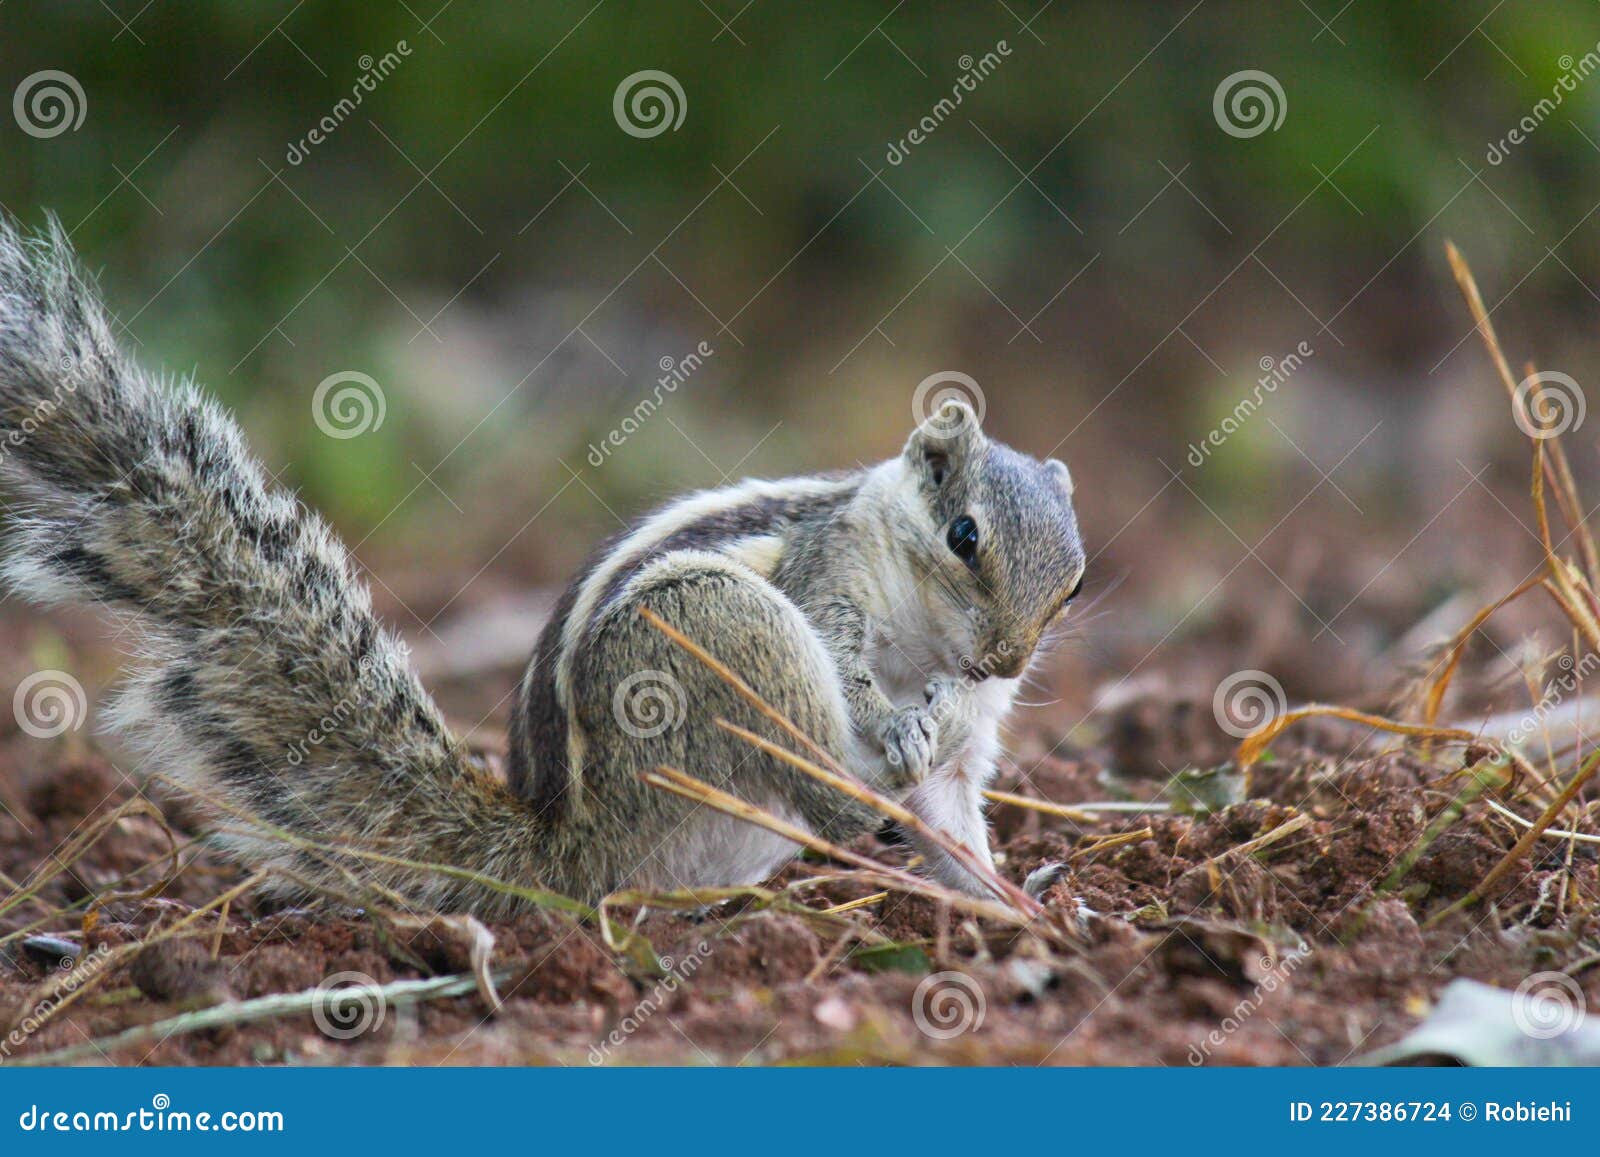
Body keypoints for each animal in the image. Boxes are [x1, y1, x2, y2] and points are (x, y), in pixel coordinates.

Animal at [0, 219, 1086, 913]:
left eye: (1073, 585)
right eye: (964, 537)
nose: (1001, 662)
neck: (935, 647)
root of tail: (566, 846)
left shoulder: (973, 739)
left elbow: (958, 819)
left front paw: (1018, 905)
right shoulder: (830, 576)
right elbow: (852, 660)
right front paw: (895, 720)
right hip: (717, 630)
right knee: (818, 783)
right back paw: (864, 786)